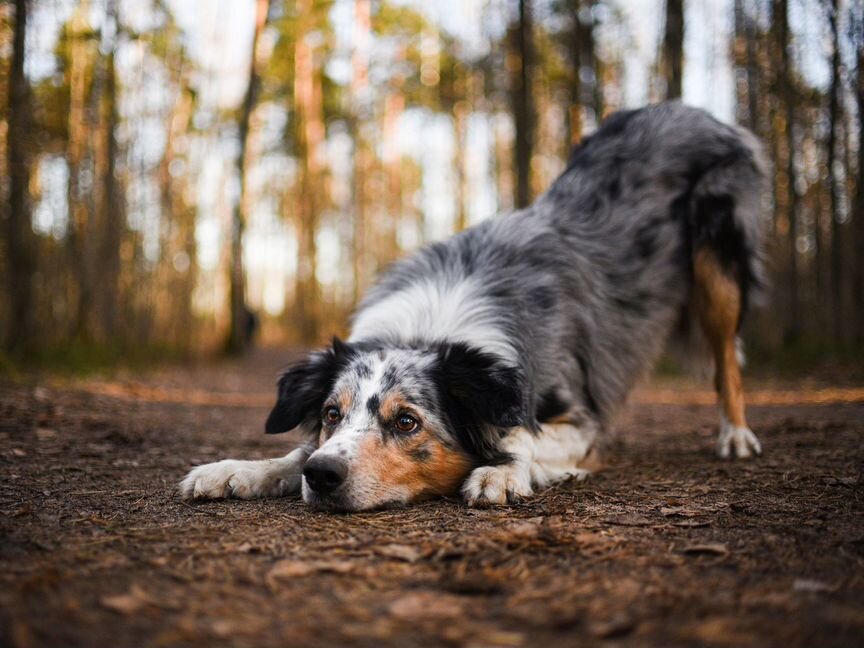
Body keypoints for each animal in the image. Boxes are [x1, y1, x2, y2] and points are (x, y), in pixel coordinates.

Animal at [181, 102, 768, 512]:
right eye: (330, 414)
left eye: (408, 422)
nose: (324, 477)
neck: (430, 330)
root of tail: (688, 109)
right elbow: (297, 452)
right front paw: (239, 470)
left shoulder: (581, 415)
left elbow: (523, 435)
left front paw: (501, 472)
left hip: (717, 264)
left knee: (728, 362)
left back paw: (736, 436)